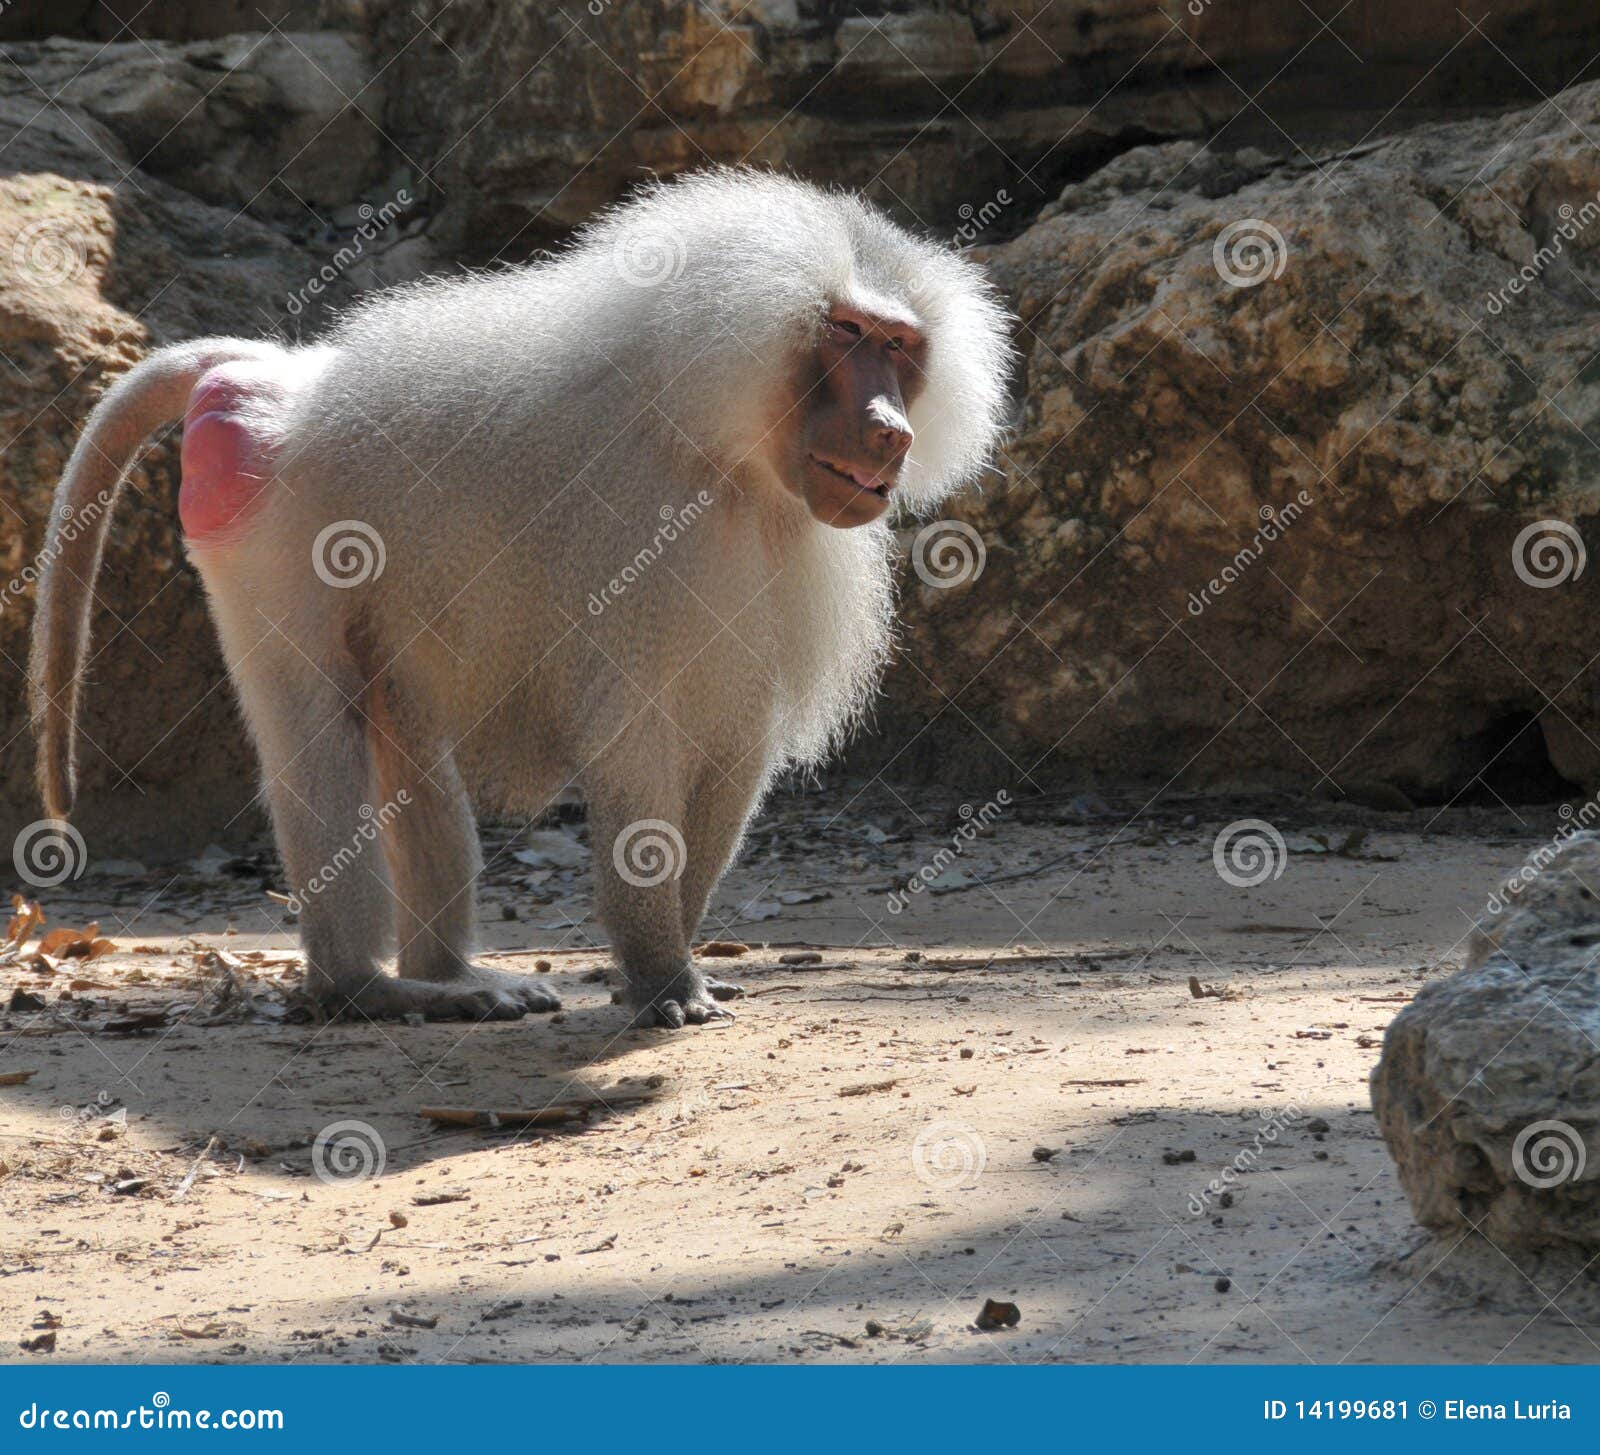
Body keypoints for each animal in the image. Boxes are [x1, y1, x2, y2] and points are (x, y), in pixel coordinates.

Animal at [29, 168, 1013, 1029]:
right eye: (846, 332)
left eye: (900, 347)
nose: (890, 431)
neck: (718, 447)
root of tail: (284, 378)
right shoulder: (646, 540)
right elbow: (638, 743)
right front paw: (663, 976)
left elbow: (732, 745)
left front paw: (664, 965)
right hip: (264, 539)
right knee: (318, 729)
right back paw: (366, 988)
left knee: (401, 728)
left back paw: (452, 977)